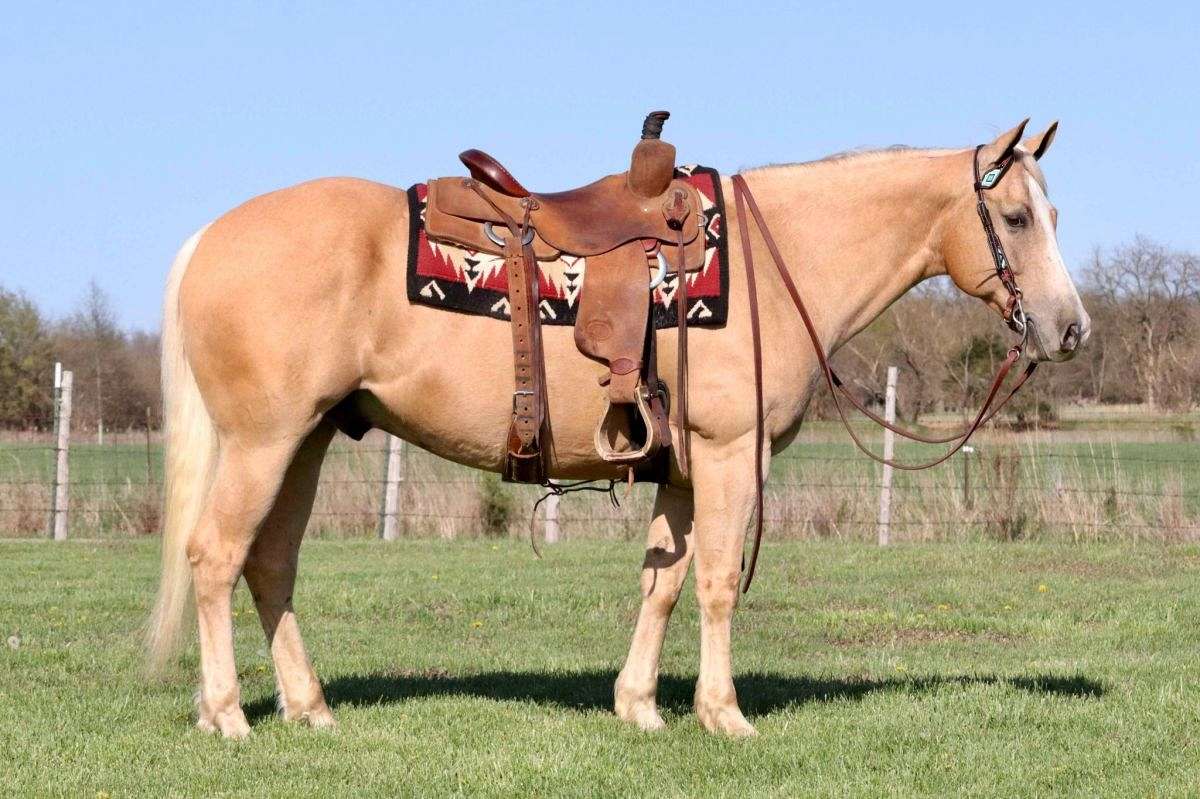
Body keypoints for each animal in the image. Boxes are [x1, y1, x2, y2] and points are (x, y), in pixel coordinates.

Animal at [146, 119, 1089, 738]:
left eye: (1053, 216)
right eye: (1014, 219)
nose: (1070, 328)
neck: (775, 257)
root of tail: (210, 238)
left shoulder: (680, 468)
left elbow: (661, 584)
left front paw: (639, 706)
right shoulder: (729, 455)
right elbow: (715, 581)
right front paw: (723, 714)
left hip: (303, 440)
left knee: (268, 565)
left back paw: (309, 708)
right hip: (265, 442)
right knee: (215, 557)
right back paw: (227, 715)